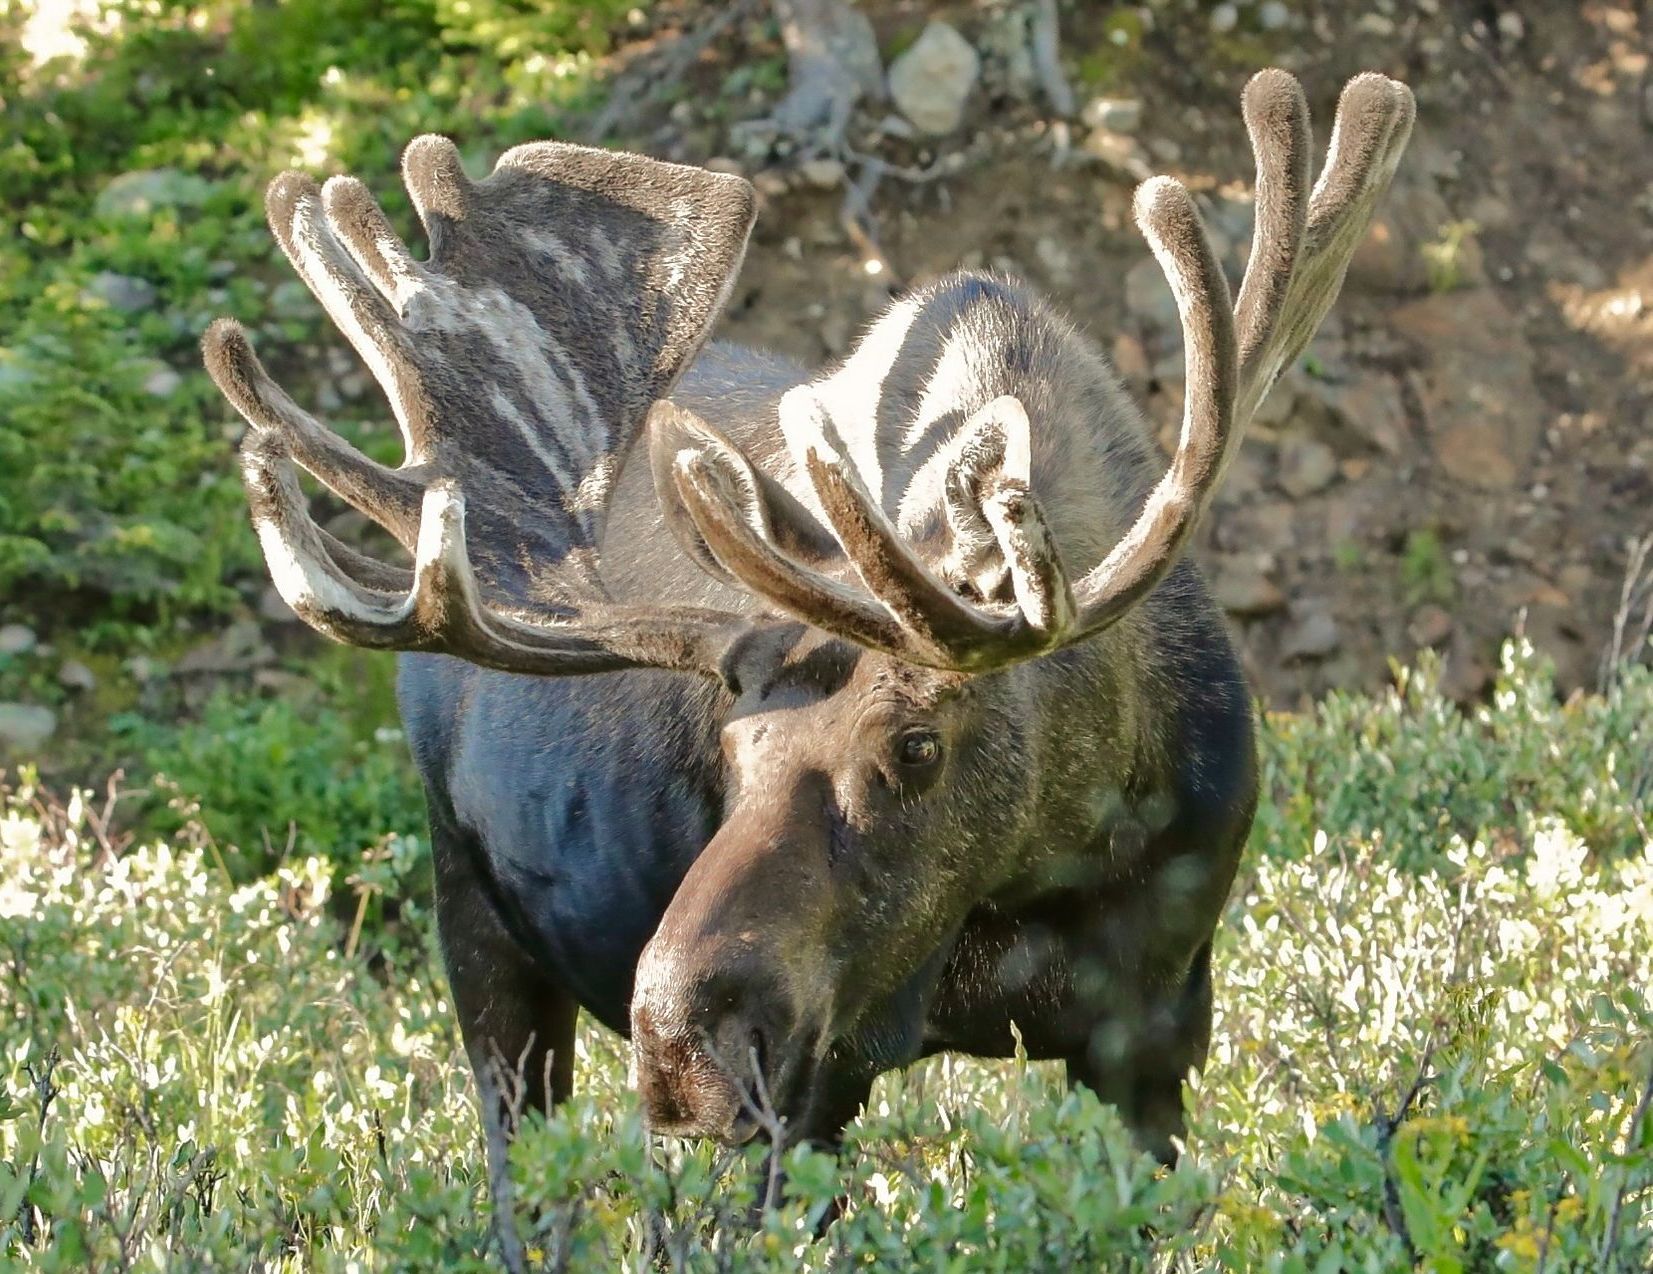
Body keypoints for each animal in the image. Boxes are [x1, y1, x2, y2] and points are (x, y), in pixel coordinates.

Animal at [204, 69, 1412, 1183]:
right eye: (727, 749)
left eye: (916, 745)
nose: (678, 1046)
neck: (1052, 854)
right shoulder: (817, 1075)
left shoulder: (1157, 1033)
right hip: (474, 920)